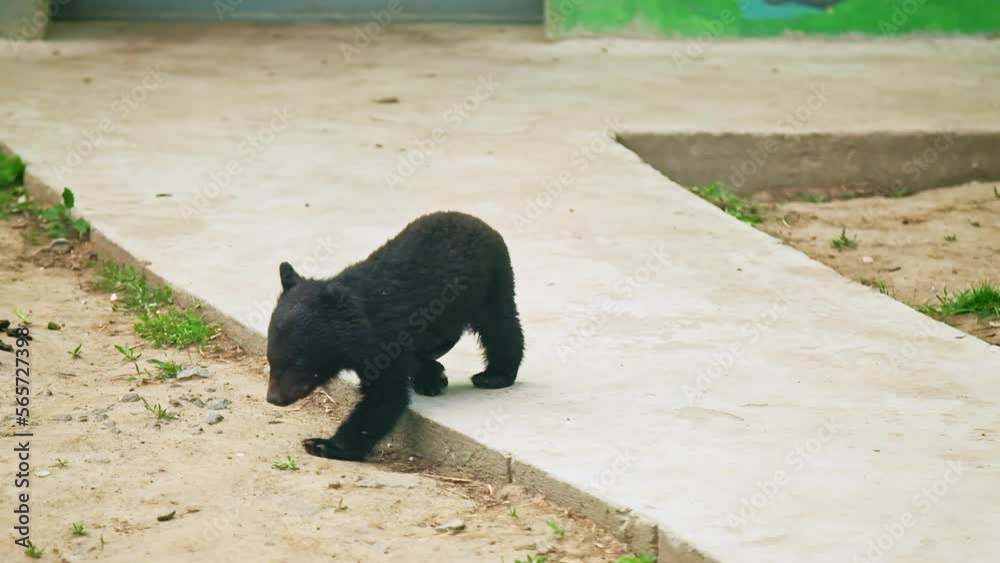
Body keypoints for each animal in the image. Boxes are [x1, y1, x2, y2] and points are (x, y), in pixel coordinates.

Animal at [265, 210, 525, 462]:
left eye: (299, 362)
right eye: (271, 359)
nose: (274, 398)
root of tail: (477, 220)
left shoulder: (387, 340)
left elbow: (385, 395)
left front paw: (324, 445)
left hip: (492, 281)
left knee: (501, 326)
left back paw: (494, 375)